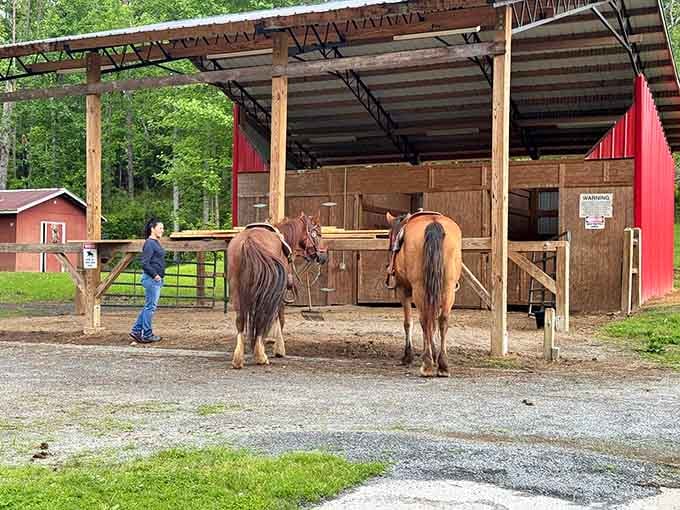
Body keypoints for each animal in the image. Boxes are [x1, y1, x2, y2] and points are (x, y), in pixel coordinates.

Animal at [227, 213, 326, 369]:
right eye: (318, 234)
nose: (323, 256)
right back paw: (260, 356)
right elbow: (279, 317)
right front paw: (279, 348)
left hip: (236, 287)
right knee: (262, 315)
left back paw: (238, 359)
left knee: (240, 319)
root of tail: (249, 241)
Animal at [385, 211, 462, 377]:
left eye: (389, 236)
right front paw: (434, 353)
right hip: (447, 288)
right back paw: (443, 365)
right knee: (442, 320)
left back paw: (427, 364)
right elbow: (433, 323)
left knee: (424, 320)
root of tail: (434, 223)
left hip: (419, 288)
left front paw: (408, 356)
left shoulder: (403, 290)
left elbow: (408, 322)